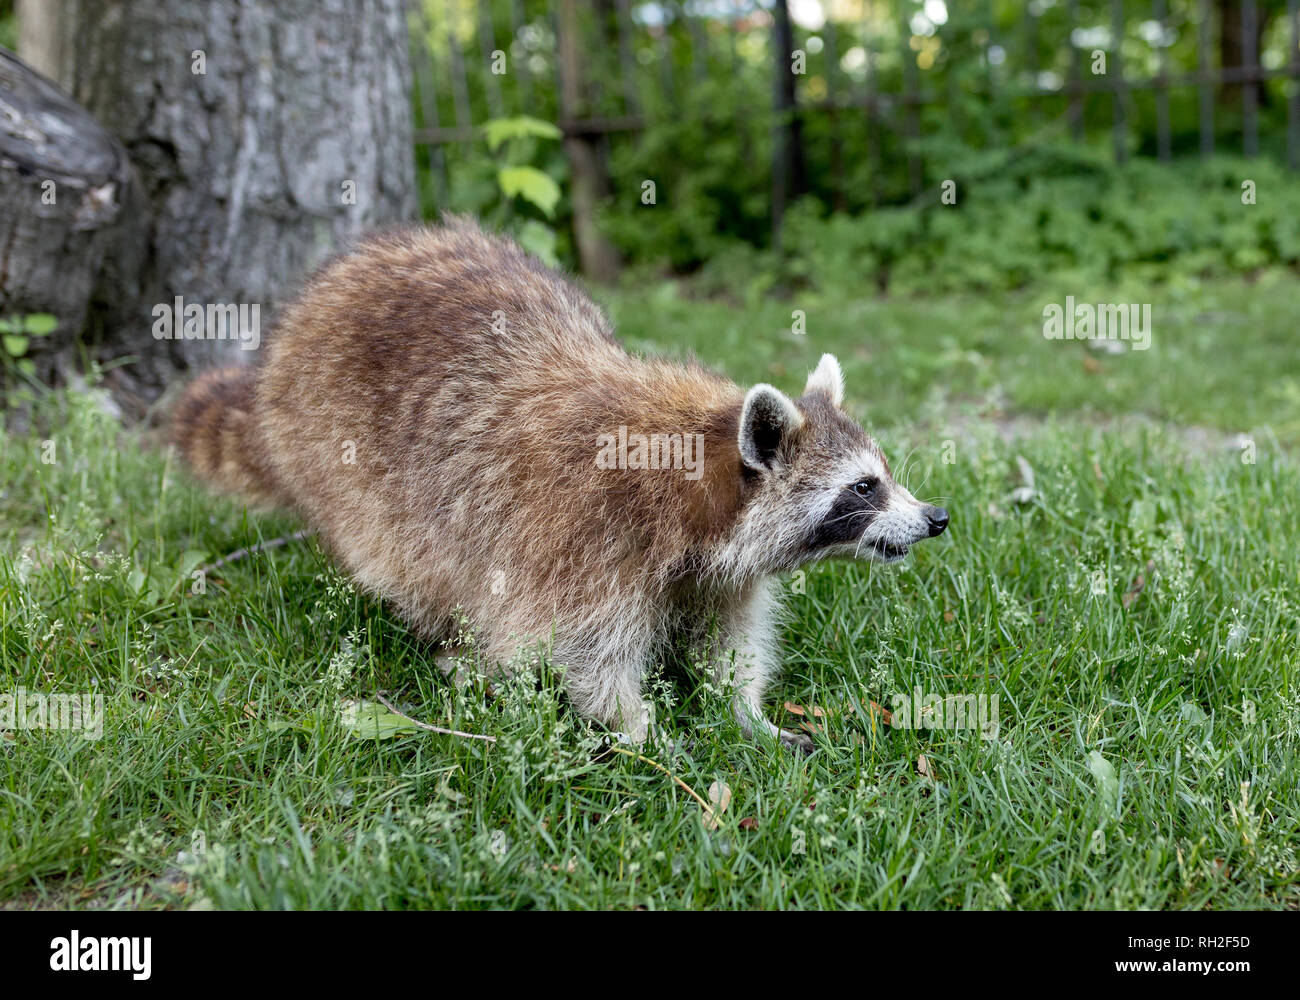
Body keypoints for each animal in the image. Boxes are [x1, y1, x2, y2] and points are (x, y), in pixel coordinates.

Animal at [172, 217, 948, 752]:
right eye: (863, 489)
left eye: (884, 476)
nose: (936, 517)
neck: (696, 470)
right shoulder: (581, 537)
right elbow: (582, 651)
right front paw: (643, 731)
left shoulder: (715, 568)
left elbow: (728, 638)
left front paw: (744, 712)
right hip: (337, 458)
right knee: (404, 561)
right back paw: (452, 650)